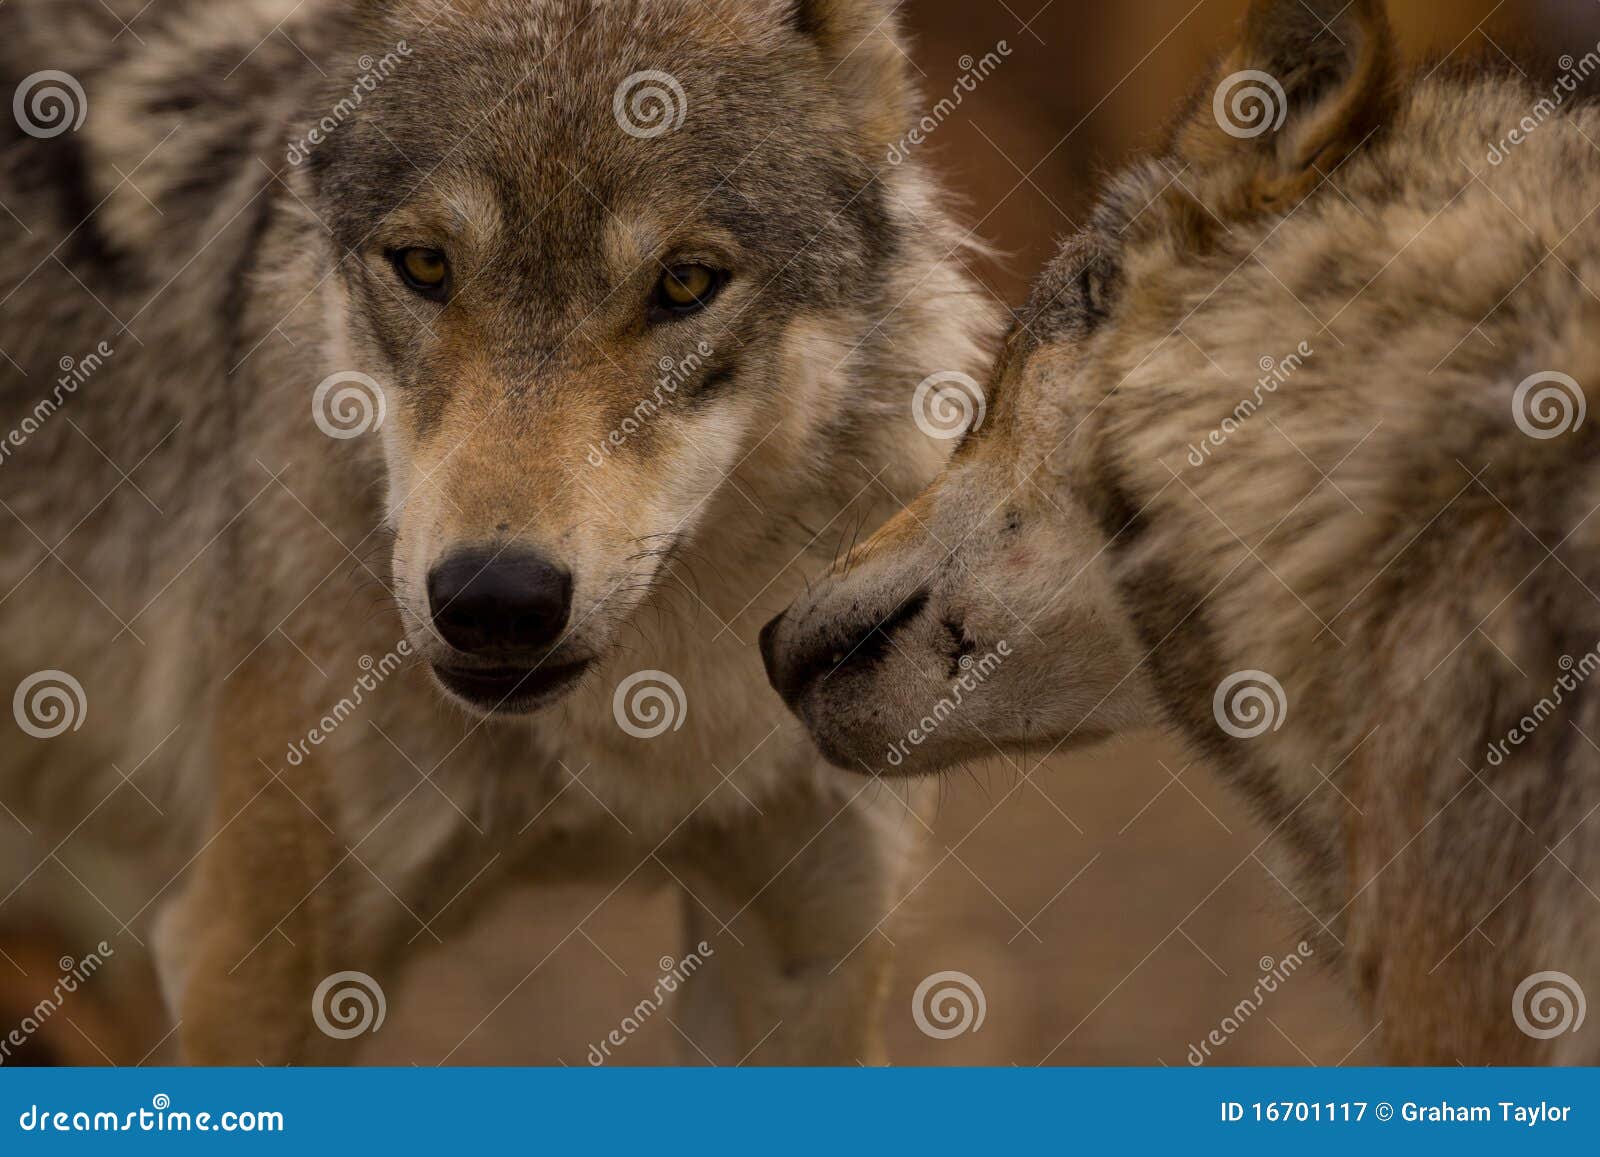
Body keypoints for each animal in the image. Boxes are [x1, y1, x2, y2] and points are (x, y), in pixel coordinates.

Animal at [0, 0, 997, 1063]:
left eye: (686, 282)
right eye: (425, 265)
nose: (495, 598)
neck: (641, 730)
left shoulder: (810, 965)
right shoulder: (248, 967)